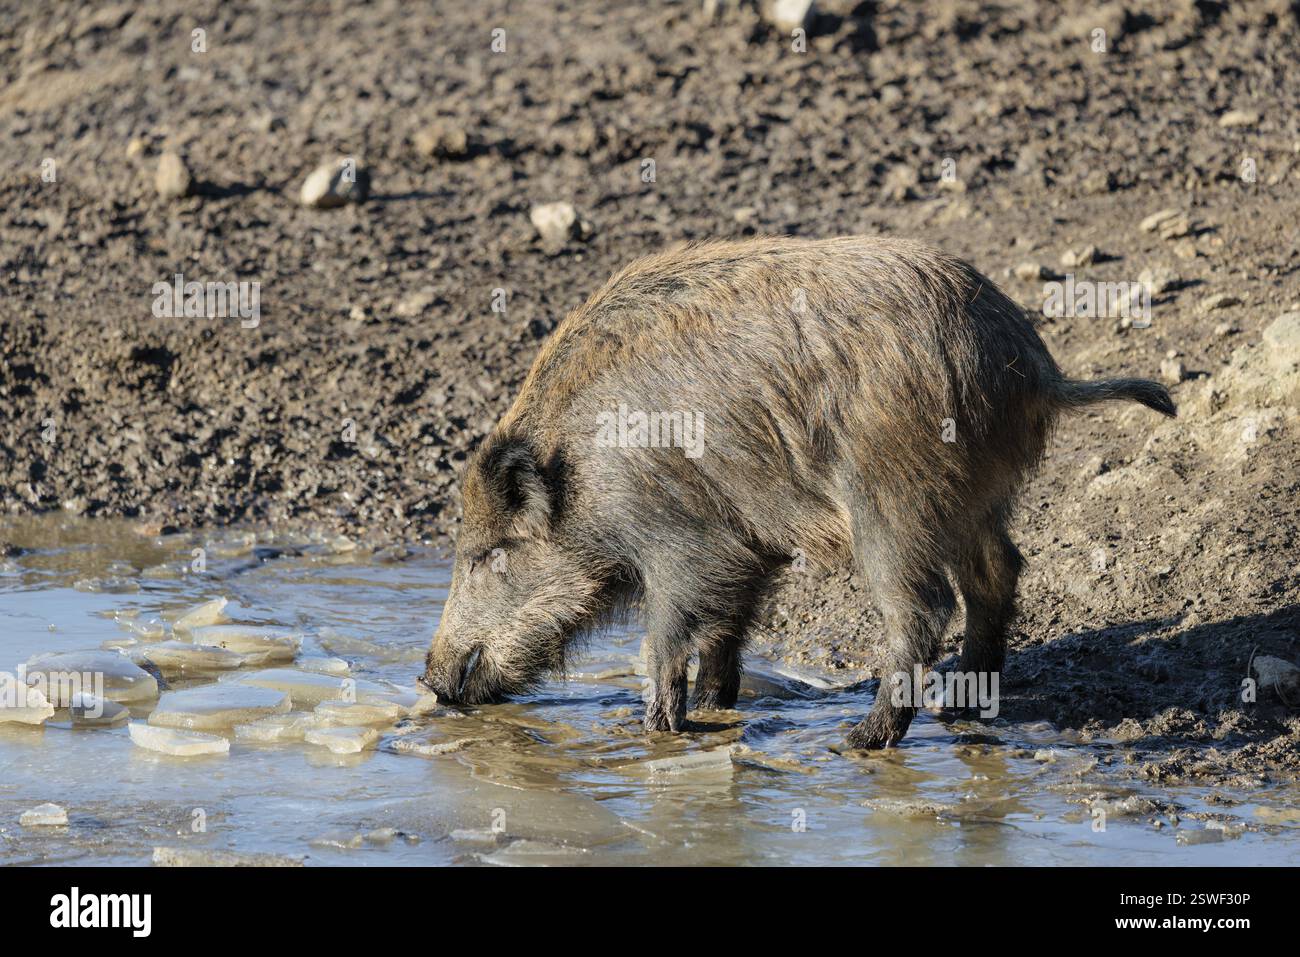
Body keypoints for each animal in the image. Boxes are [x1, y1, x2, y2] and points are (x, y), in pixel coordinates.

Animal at [421, 236, 1175, 748]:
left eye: (487, 555)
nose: (429, 679)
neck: (583, 469)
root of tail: (1033, 366)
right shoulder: (748, 545)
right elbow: (726, 630)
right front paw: (718, 708)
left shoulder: (684, 540)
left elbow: (667, 636)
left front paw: (657, 731)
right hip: (977, 498)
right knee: (999, 572)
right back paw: (959, 710)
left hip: (891, 497)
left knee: (923, 608)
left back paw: (863, 739)